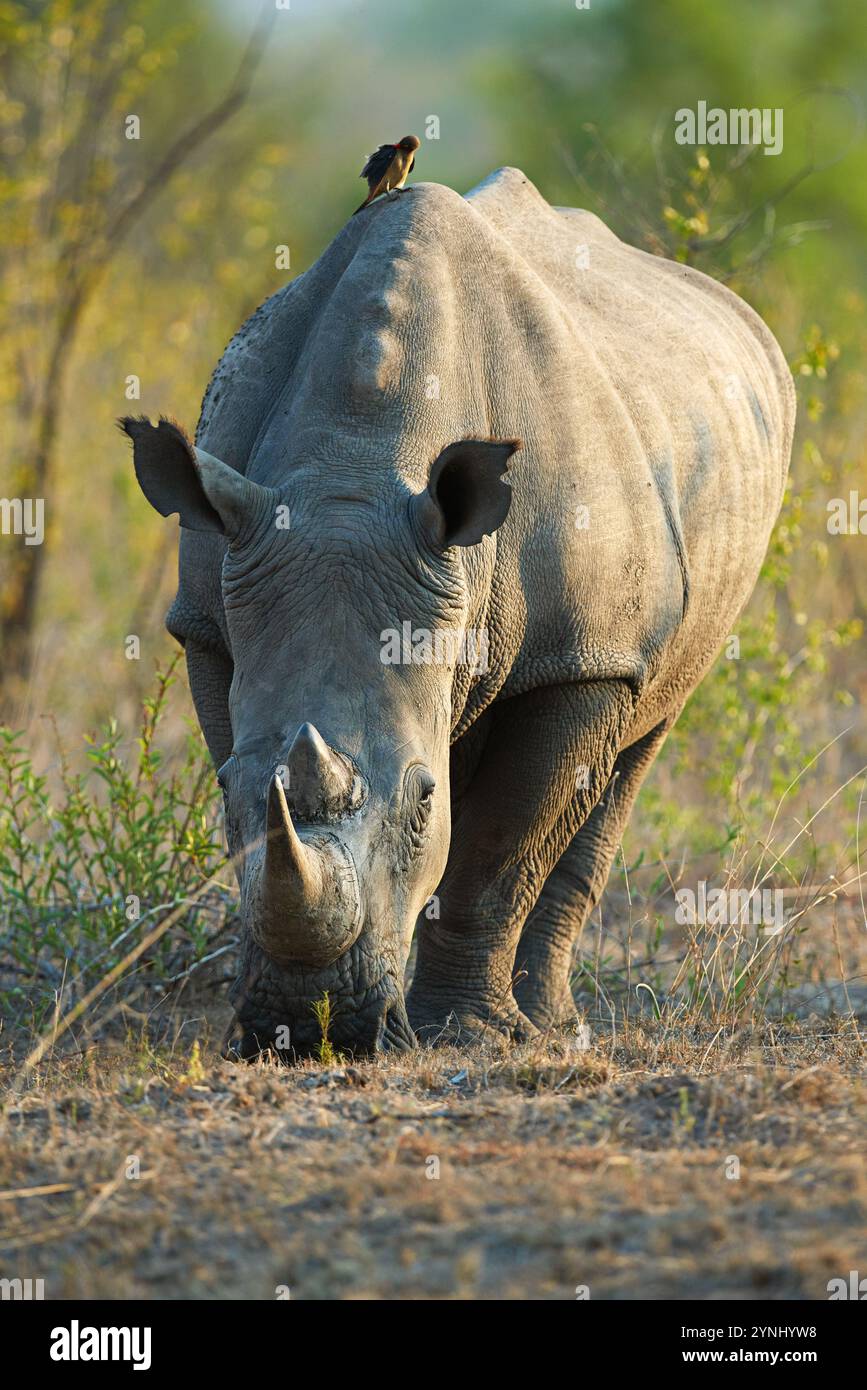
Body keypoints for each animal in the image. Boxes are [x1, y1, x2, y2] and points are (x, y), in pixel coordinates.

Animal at [122, 167, 794, 1058]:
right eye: (225, 789)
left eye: (421, 799)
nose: (308, 1025)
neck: (356, 465)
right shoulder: (209, 621)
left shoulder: (577, 656)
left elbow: (499, 849)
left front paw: (466, 1036)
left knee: (636, 744)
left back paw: (549, 1025)